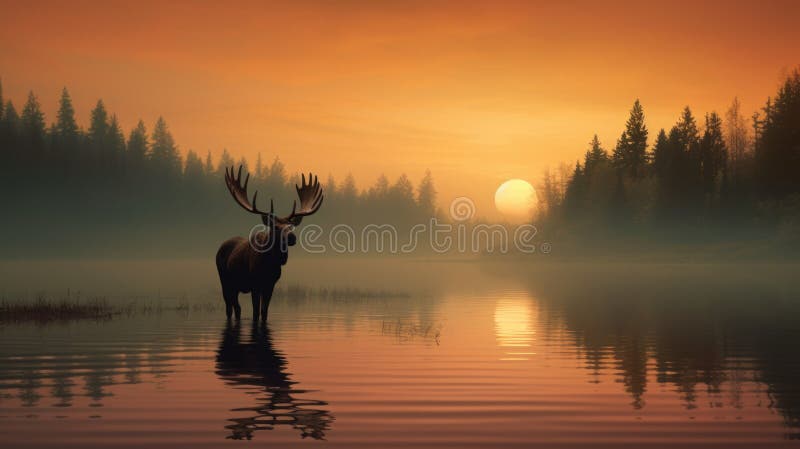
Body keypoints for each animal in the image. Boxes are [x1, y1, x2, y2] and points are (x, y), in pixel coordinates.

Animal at [216, 165, 323, 321]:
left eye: (291, 226)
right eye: (276, 227)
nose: (292, 237)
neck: (269, 264)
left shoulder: (270, 284)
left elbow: (264, 312)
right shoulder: (255, 283)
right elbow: (255, 313)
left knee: (236, 307)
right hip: (225, 280)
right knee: (230, 306)